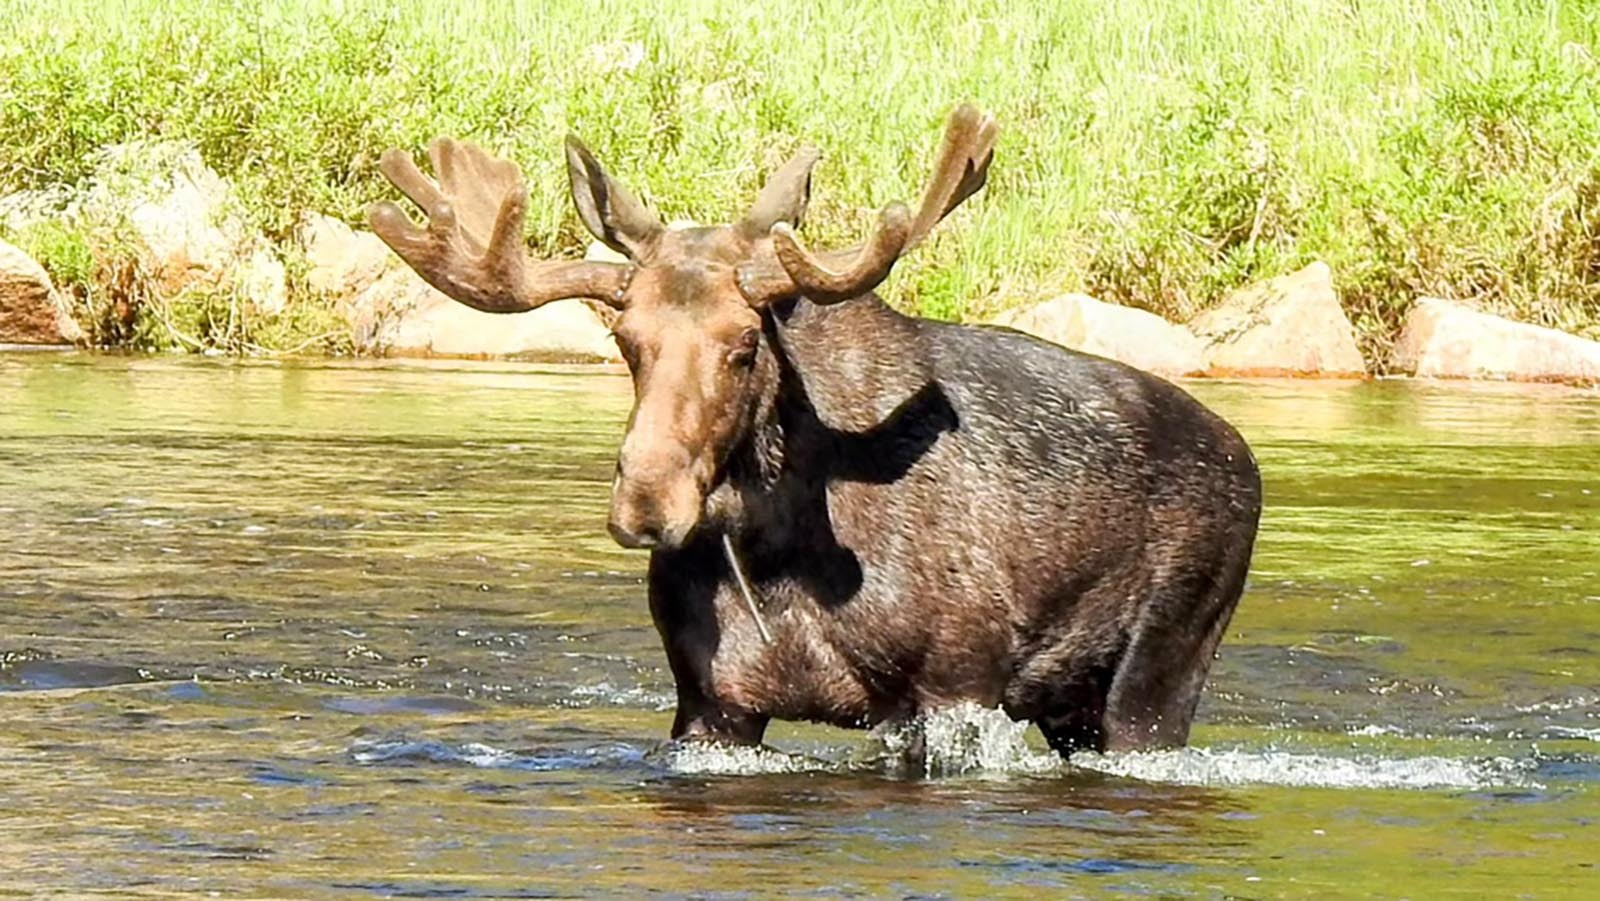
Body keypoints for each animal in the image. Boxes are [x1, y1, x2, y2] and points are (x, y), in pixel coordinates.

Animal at [368, 105, 1262, 758]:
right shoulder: (711, 704)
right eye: (626, 339)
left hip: (1158, 677)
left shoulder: (953, 690)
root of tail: (1247, 460)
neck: (772, 543)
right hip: (1072, 702)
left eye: (743, 343)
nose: (648, 501)